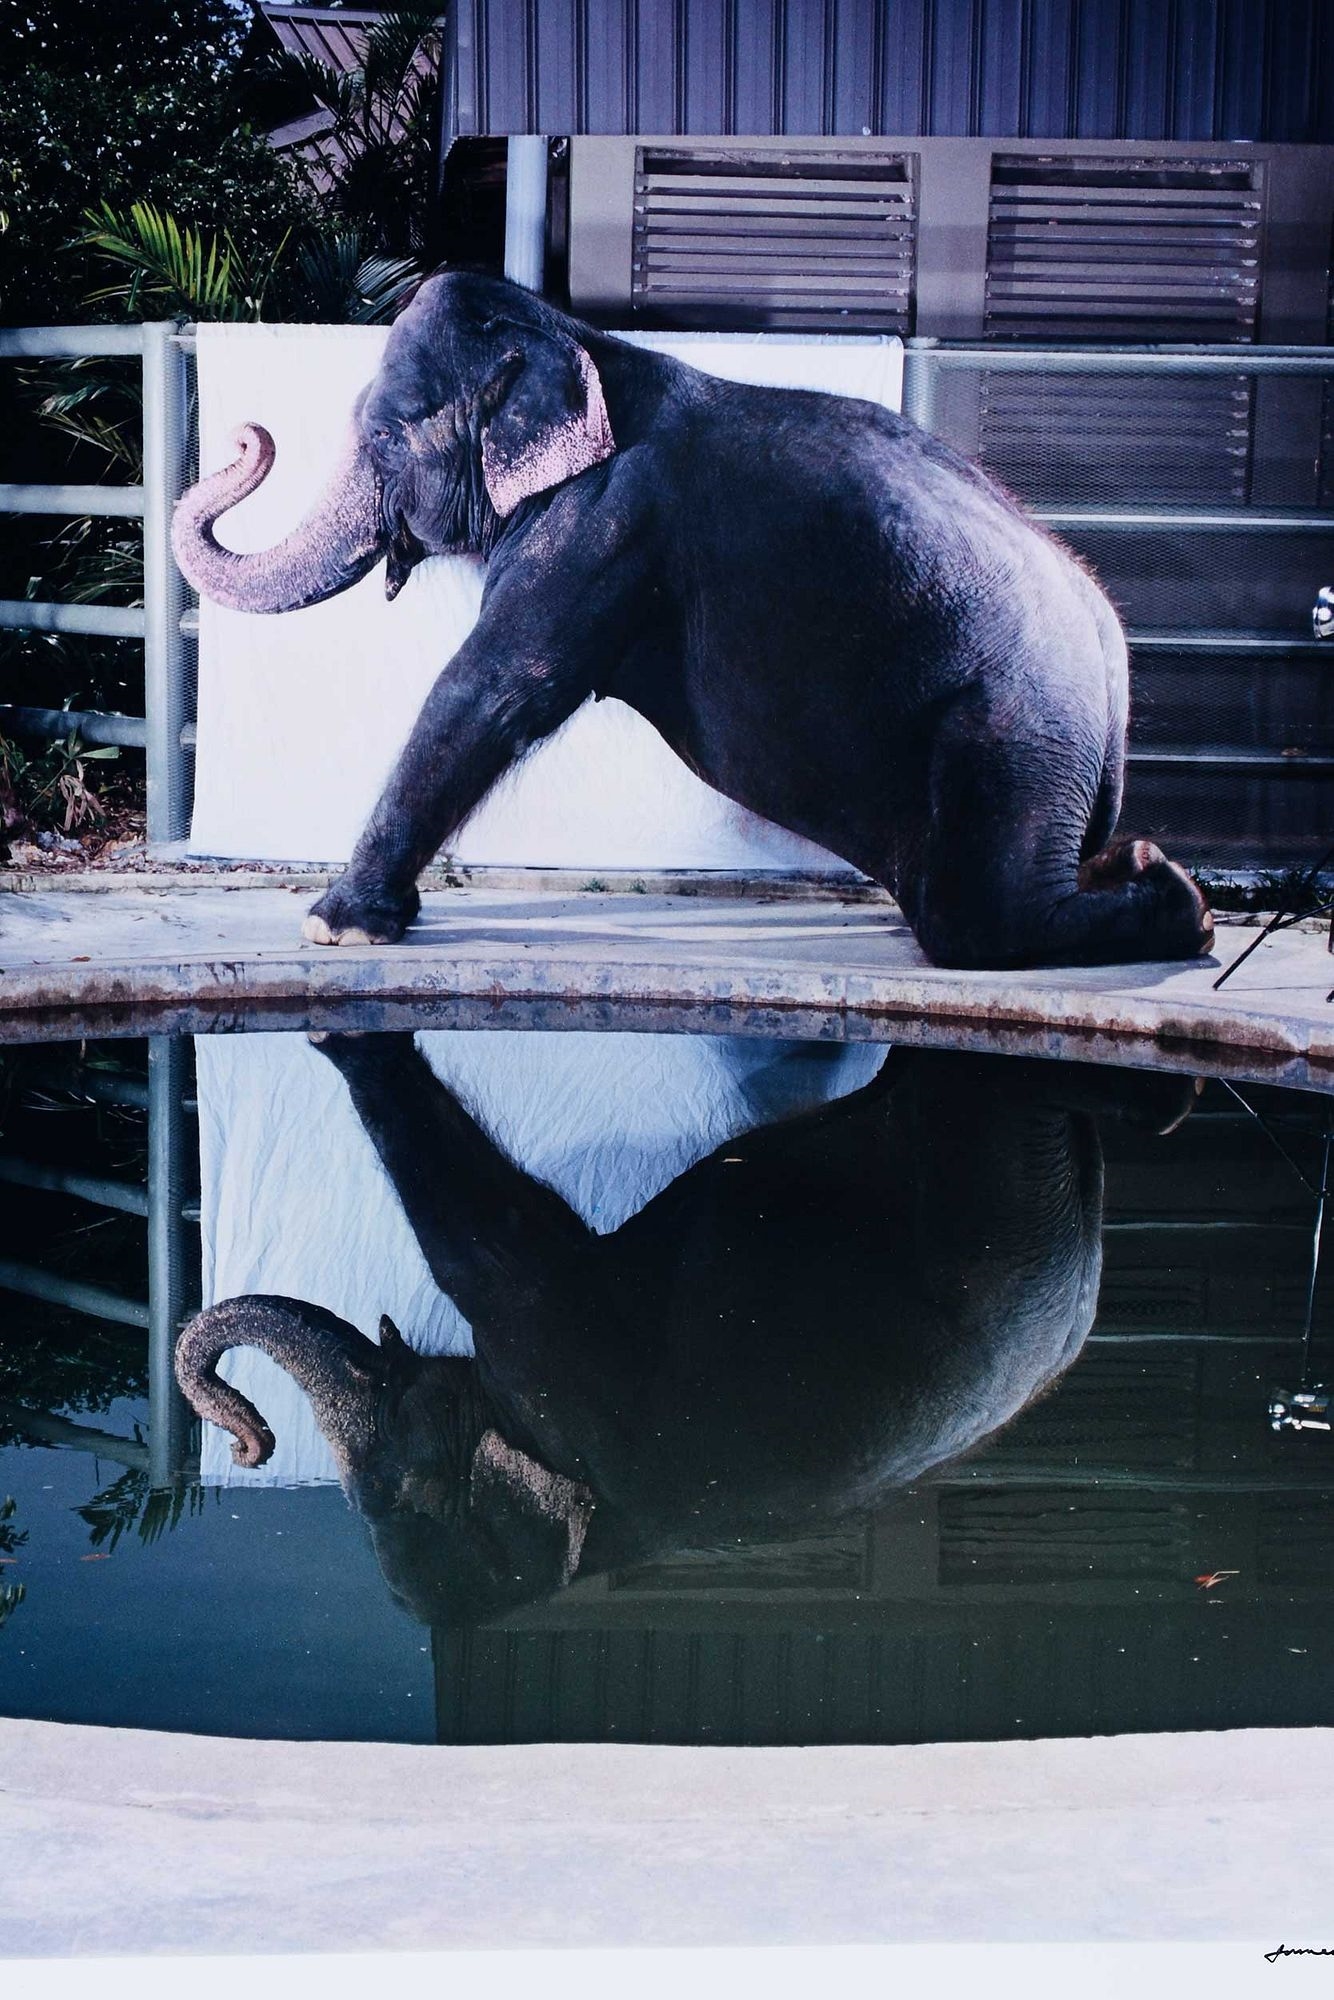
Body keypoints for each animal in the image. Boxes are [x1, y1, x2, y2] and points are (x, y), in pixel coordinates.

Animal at [171, 269, 1213, 972]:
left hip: (1014, 723)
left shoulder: (604, 525)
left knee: (978, 917)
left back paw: (1183, 904)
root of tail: (1114, 652)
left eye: (385, 433)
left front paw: (334, 926)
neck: (584, 339)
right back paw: (1145, 868)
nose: (247, 435)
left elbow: (498, 687)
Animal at [175, 1034, 1195, 1629]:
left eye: (392, 1486)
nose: (251, 1442)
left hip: (969, 1163)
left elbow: (501, 1254)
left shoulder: (566, 1358)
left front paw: (344, 1031)